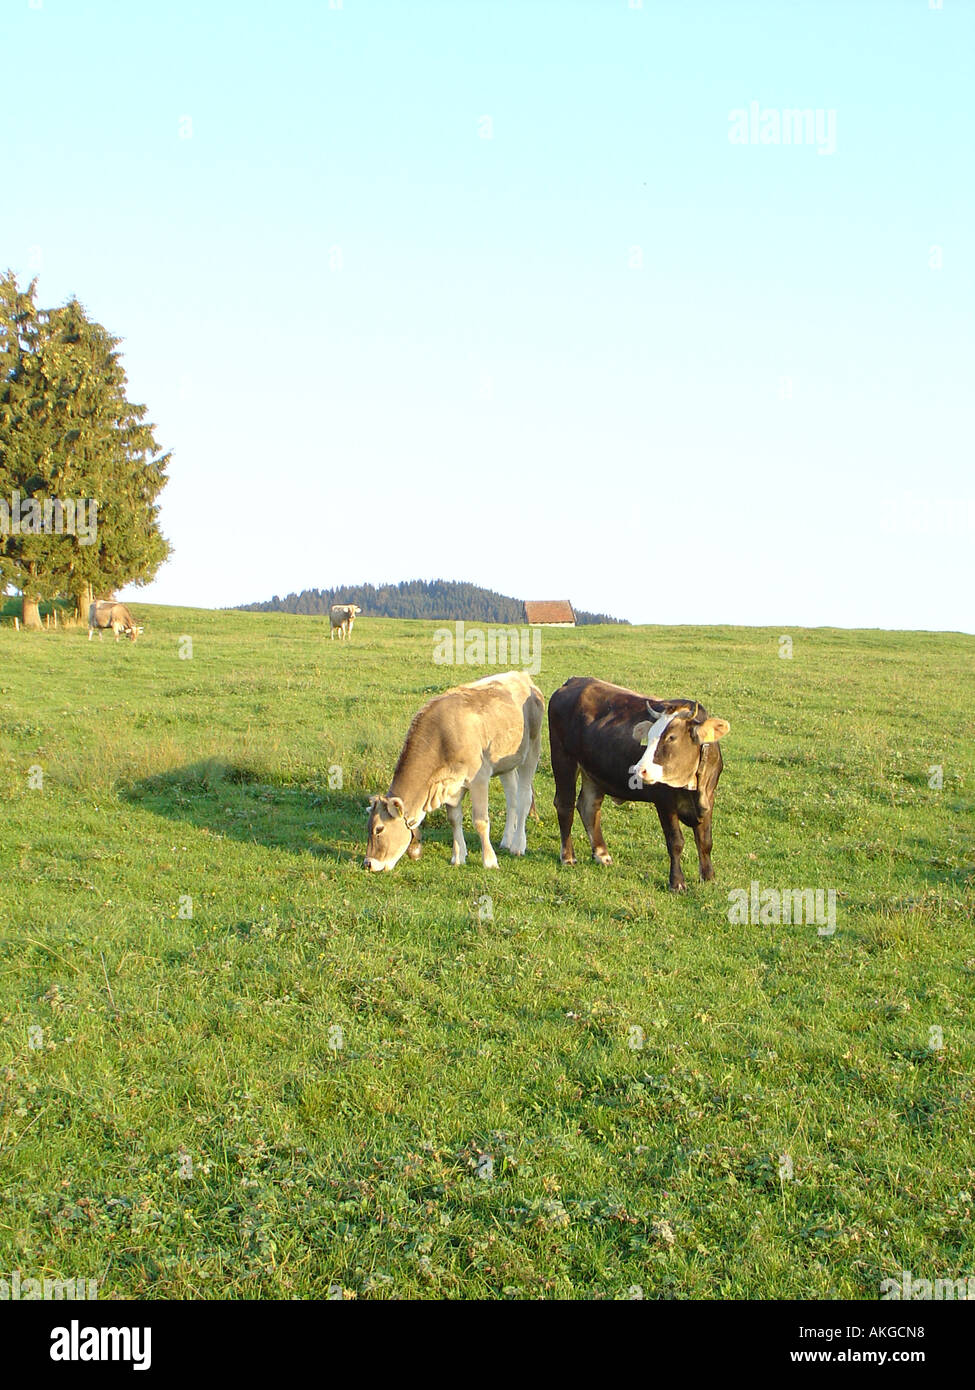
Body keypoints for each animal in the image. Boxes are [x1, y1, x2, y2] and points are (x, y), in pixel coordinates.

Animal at [365, 670, 544, 872]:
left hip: (532, 750)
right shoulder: (449, 785)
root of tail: (522, 675)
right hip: (505, 763)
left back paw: (518, 845)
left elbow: (480, 822)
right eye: (368, 828)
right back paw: (507, 840)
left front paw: (489, 861)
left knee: (524, 798)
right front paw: (458, 856)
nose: (367, 863)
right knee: (512, 799)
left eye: (379, 829)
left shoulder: (479, 779)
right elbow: (454, 819)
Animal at [548, 676, 731, 892]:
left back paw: (602, 854)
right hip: (563, 757)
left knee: (589, 807)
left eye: (672, 737)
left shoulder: (709, 799)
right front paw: (677, 882)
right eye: (649, 737)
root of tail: (574, 681)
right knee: (565, 804)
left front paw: (708, 877)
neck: (694, 788)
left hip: (593, 770)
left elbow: (705, 841)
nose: (640, 769)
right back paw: (568, 856)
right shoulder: (664, 802)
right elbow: (675, 842)